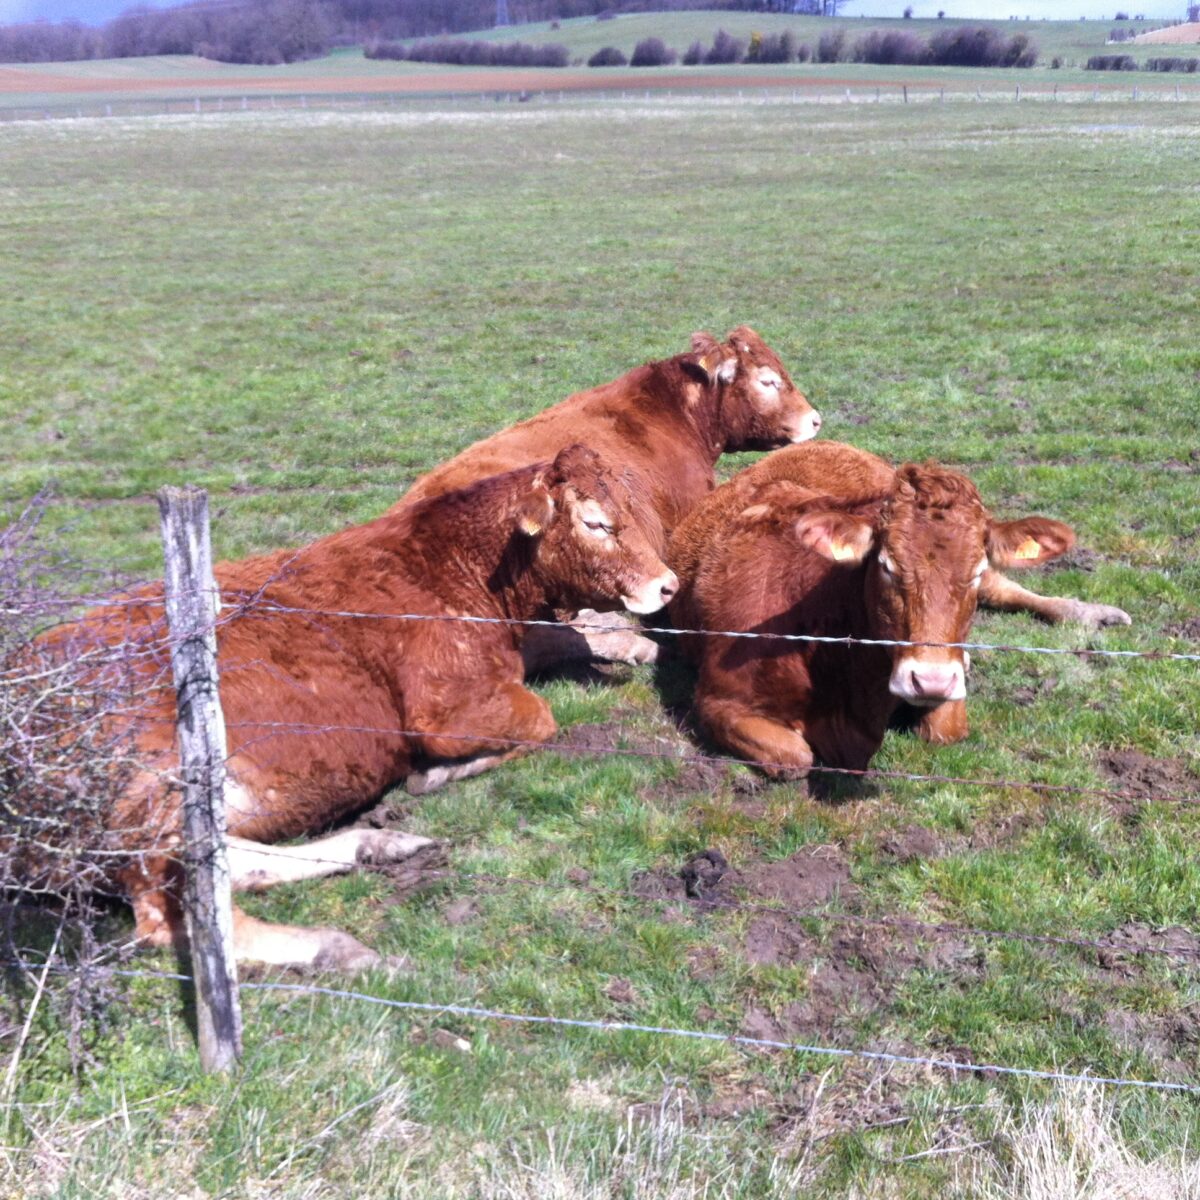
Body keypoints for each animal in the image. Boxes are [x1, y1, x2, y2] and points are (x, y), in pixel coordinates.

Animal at [13, 445, 677, 968]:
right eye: (596, 522)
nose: (668, 584)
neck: (463, 574)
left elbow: (563, 638)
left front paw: (633, 643)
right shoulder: (446, 707)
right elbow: (542, 720)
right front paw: (439, 774)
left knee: (229, 864)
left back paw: (373, 846)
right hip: (156, 789)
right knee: (169, 915)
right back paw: (332, 946)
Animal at [669, 441, 1130, 747]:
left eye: (976, 571)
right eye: (887, 566)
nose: (931, 679)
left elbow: (945, 730)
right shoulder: (718, 701)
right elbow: (797, 754)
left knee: (1009, 589)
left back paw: (1093, 612)